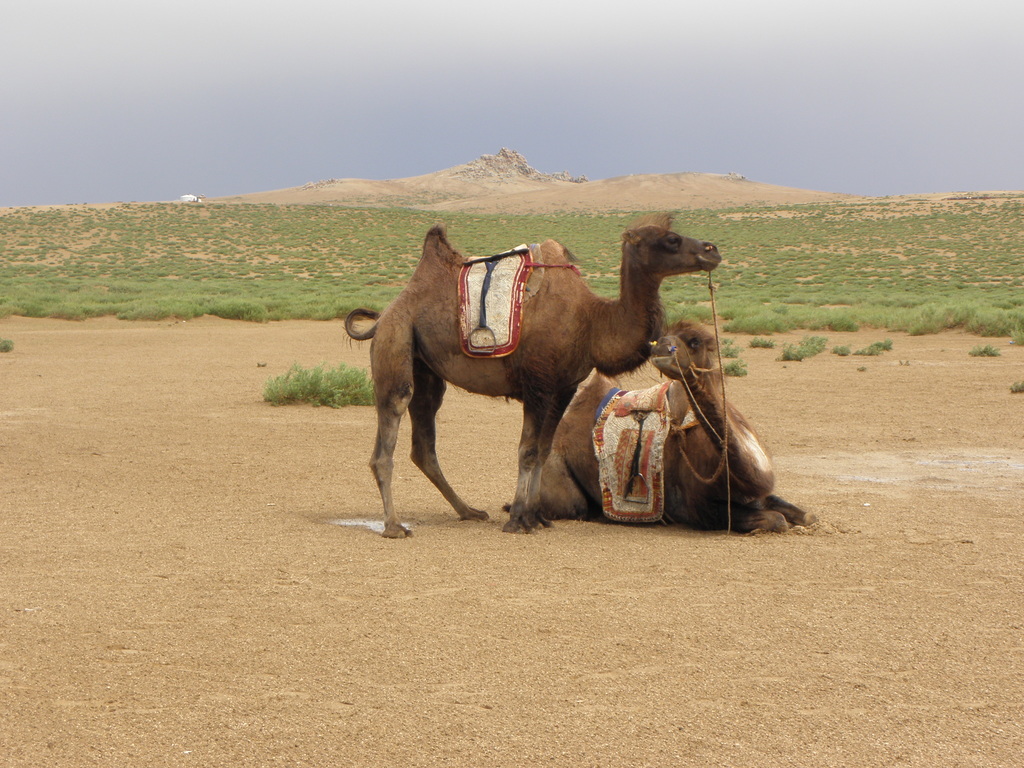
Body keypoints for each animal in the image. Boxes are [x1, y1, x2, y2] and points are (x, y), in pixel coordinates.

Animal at [344, 215, 721, 537]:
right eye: (671, 239)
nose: (711, 250)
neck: (591, 321)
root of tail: (384, 314)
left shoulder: (565, 386)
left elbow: (542, 449)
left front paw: (536, 517)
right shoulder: (537, 383)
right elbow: (527, 449)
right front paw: (517, 520)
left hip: (427, 369)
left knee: (424, 440)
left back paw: (469, 511)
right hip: (396, 339)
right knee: (393, 411)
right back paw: (394, 526)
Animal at [538, 320, 815, 532]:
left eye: (694, 341)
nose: (660, 345)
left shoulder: (758, 495)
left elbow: (807, 515)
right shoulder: (695, 508)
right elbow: (777, 520)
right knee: (574, 505)